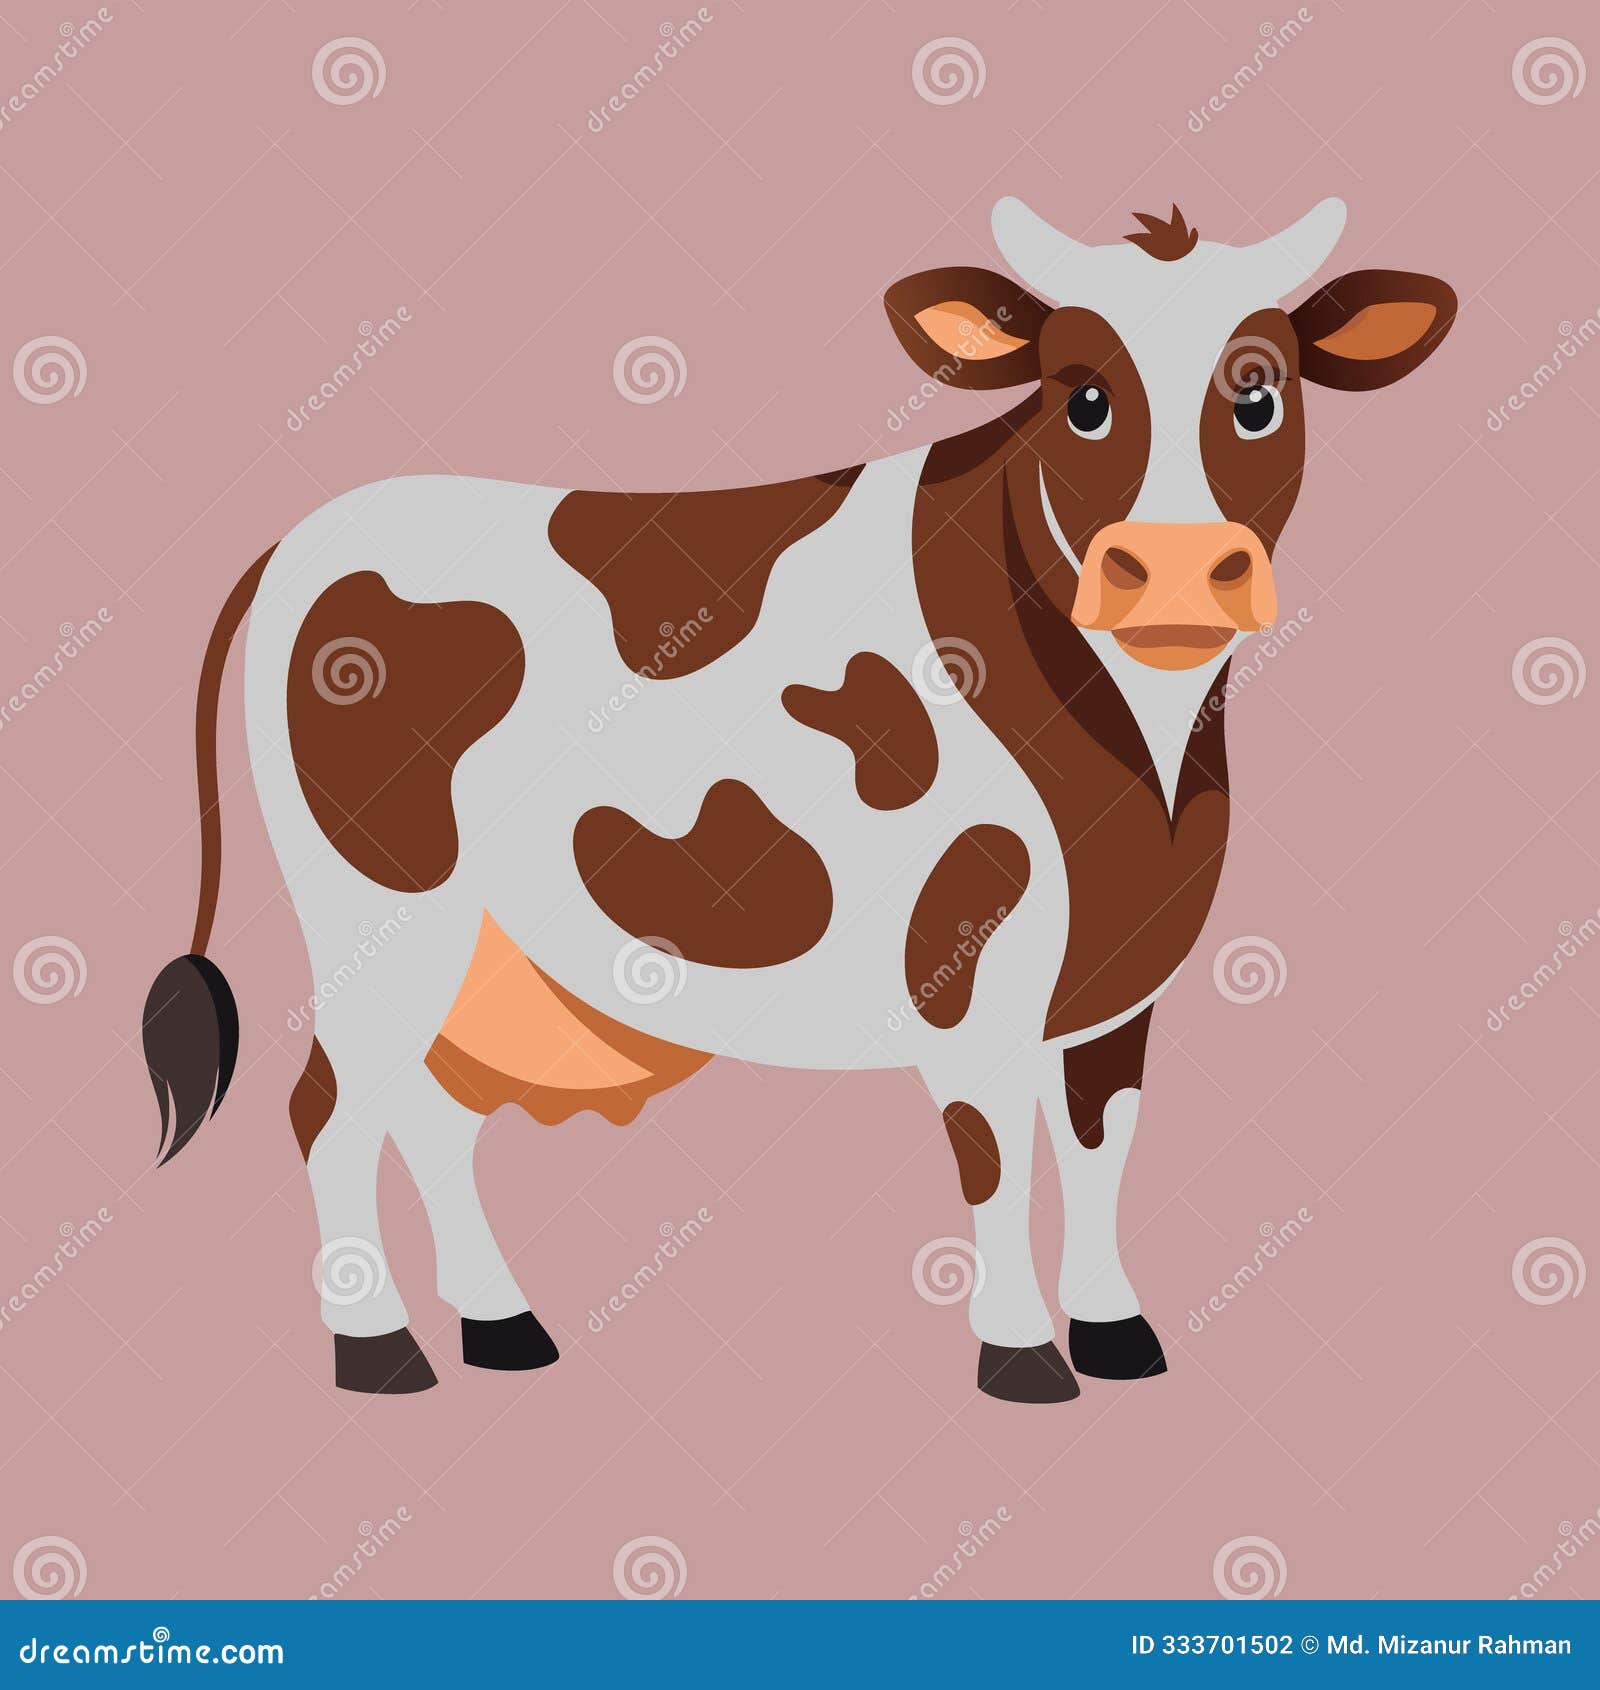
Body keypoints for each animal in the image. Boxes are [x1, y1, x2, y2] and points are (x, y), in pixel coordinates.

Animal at [141, 196, 1454, 1402]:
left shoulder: (1115, 981)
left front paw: (1117, 1332)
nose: (1175, 571)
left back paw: (500, 1325)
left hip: (477, 944)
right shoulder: (964, 966)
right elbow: (997, 1157)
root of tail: (309, 534)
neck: (1147, 774)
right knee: (330, 1107)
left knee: (432, 1112)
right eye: (1080, 396)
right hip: (379, 910)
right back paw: (377, 1350)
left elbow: (1099, 1146)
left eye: (1260, 394)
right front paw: (1022, 1353)